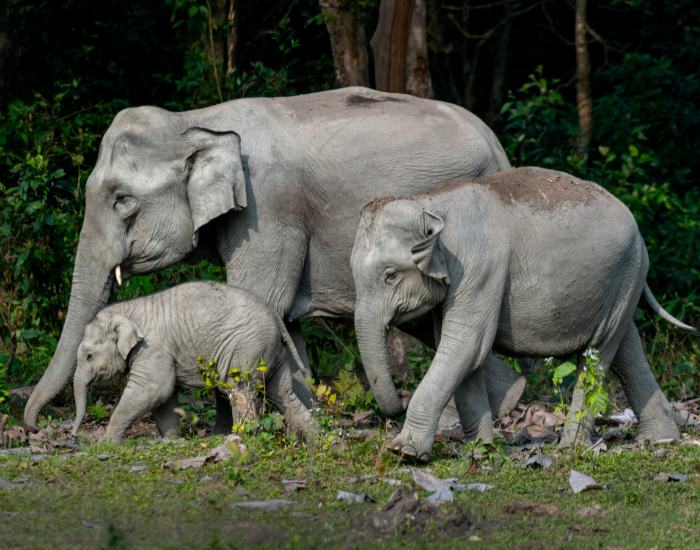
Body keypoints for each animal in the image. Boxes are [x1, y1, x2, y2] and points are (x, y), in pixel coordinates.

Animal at [71, 282, 308, 443]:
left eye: (89, 355)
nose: (73, 437)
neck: (128, 309)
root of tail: (278, 319)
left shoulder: (152, 348)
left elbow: (153, 389)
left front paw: (105, 444)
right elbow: (164, 398)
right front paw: (171, 441)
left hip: (247, 348)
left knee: (241, 390)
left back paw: (241, 440)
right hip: (270, 352)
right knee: (283, 393)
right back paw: (309, 440)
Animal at [351, 167, 696, 461]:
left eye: (390, 275)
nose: (400, 394)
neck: (429, 201)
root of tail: (639, 232)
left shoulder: (480, 268)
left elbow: (465, 347)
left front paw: (404, 452)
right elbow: (462, 354)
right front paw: (480, 450)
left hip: (626, 271)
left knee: (598, 352)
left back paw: (571, 448)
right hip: (622, 282)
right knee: (625, 348)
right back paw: (662, 439)